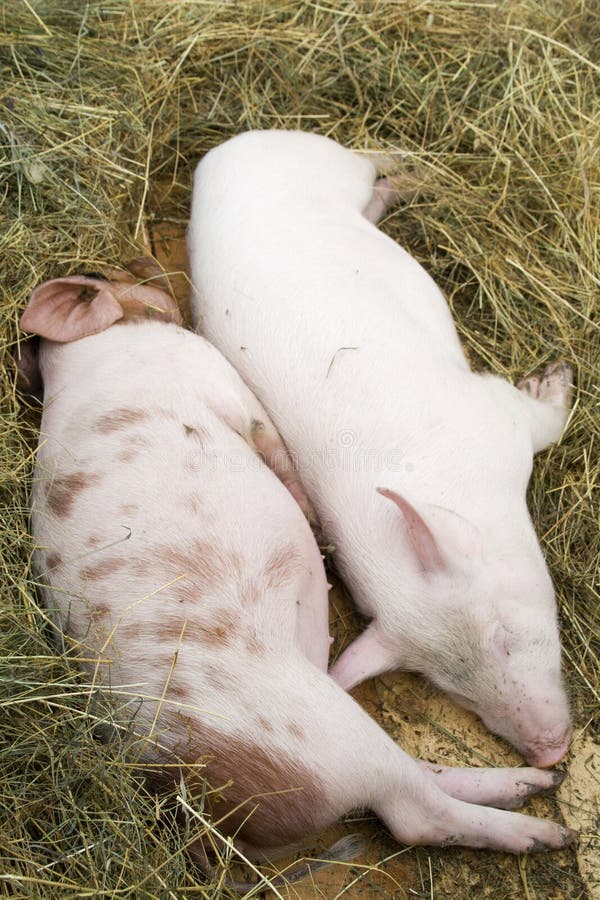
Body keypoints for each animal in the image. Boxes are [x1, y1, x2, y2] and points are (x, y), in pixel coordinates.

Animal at [18, 271, 577, 867]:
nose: (552, 751)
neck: (82, 354)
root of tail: (207, 804)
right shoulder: (215, 375)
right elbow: (268, 440)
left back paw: (540, 786)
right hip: (325, 736)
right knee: (415, 813)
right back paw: (550, 828)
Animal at [187, 129, 574, 769]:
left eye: (503, 637)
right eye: (443, 681)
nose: (548, 753)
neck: (462, 490)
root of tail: (222, 153)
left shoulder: (496, 414)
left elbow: (547, 417)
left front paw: (559, 374)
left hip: (322, 162)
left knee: (365, 159)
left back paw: (411, 171)